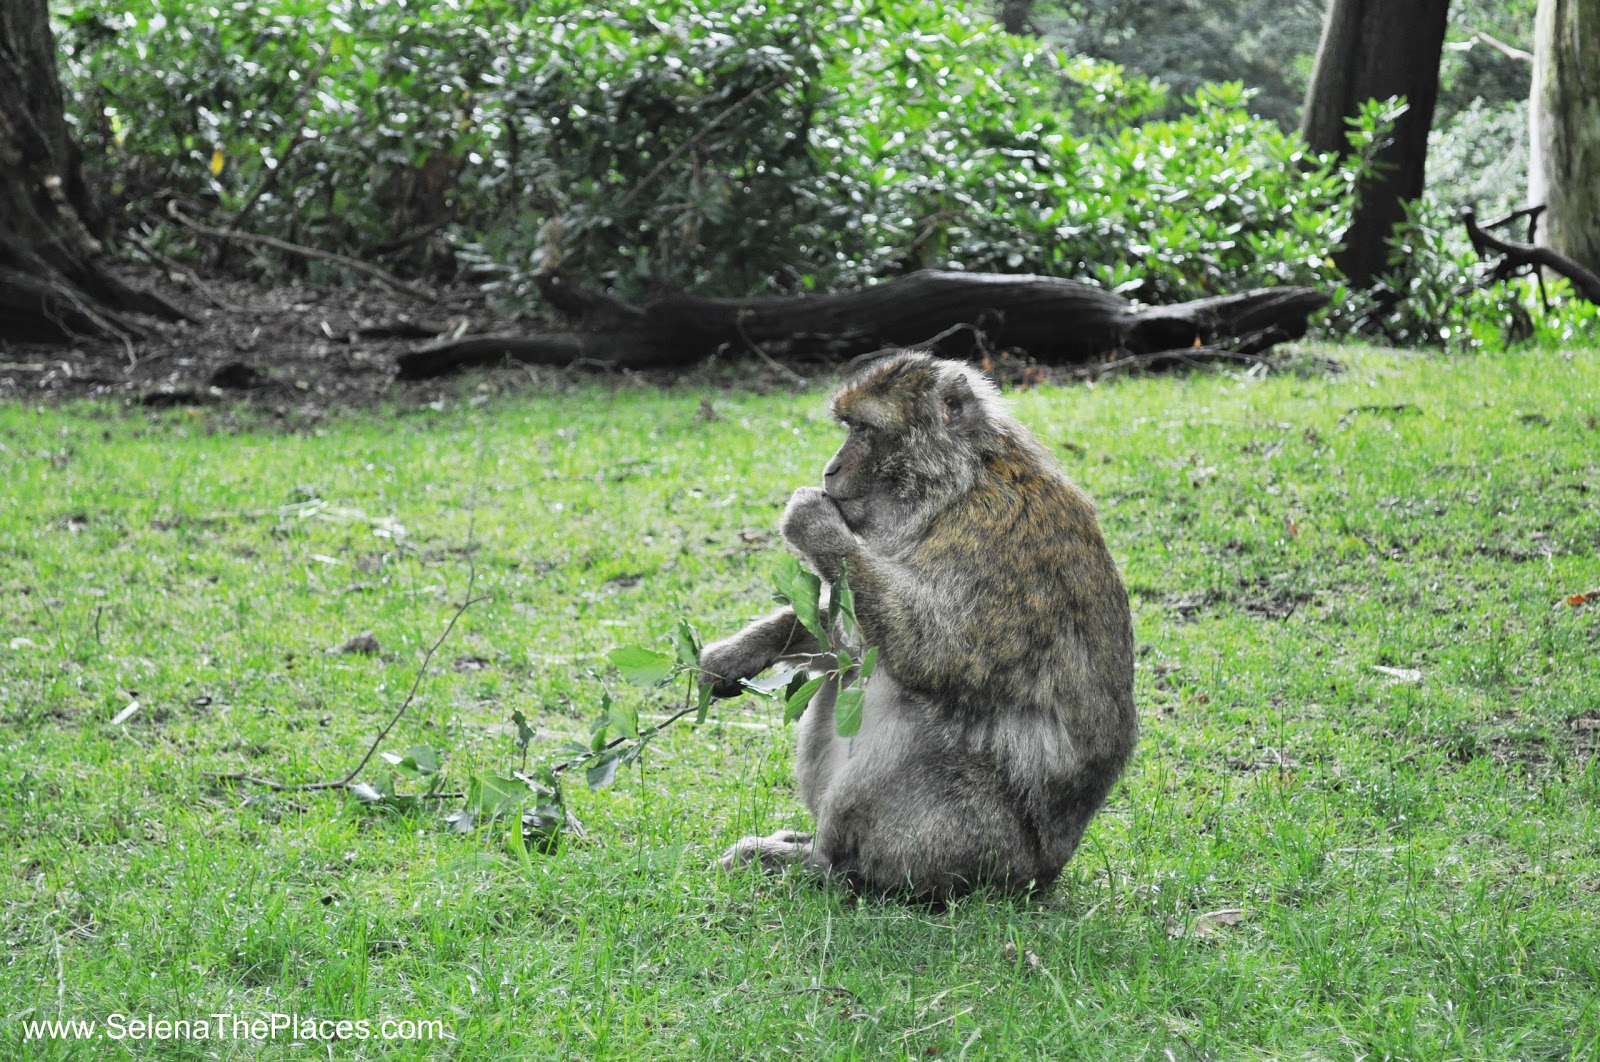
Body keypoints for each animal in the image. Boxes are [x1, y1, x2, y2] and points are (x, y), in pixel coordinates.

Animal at [699, 350, 1136, 900]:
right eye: (848, 427)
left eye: (864, 429)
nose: (830, 469)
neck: (958, 486)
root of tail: (1047, 872)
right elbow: (852, 647)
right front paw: (736, 655)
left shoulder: (993, 536)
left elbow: (932, 651)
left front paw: (812, 522)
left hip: (982, 851)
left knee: (916, 720)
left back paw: (823, 865)